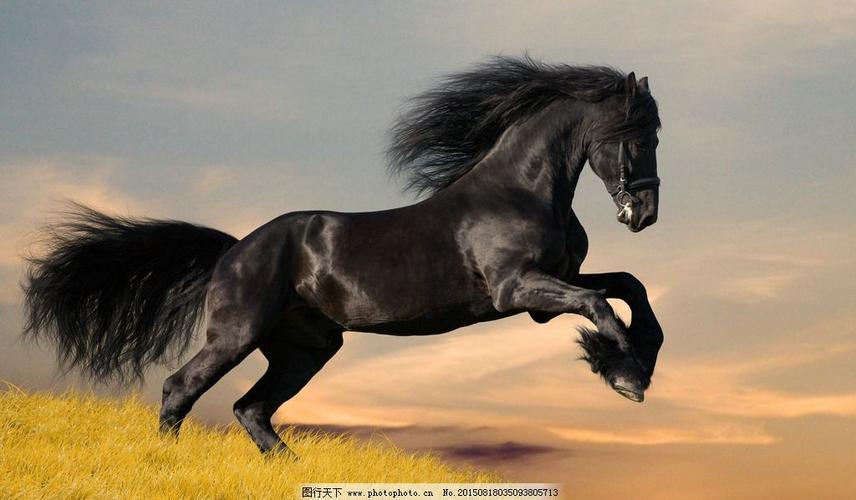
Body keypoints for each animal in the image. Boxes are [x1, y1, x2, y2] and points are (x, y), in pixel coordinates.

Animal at [22, 56, 664, 456]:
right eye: (638, 136)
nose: (645, 214)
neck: (521, 189)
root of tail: (234, 250)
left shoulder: (550, 288)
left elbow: (628, 286)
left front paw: (636, 360)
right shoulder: (517, 290)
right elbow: (600, 305)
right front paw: (624, 374)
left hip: (306, 348)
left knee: (251, 408)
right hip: (237, 334)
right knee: (181, 389)